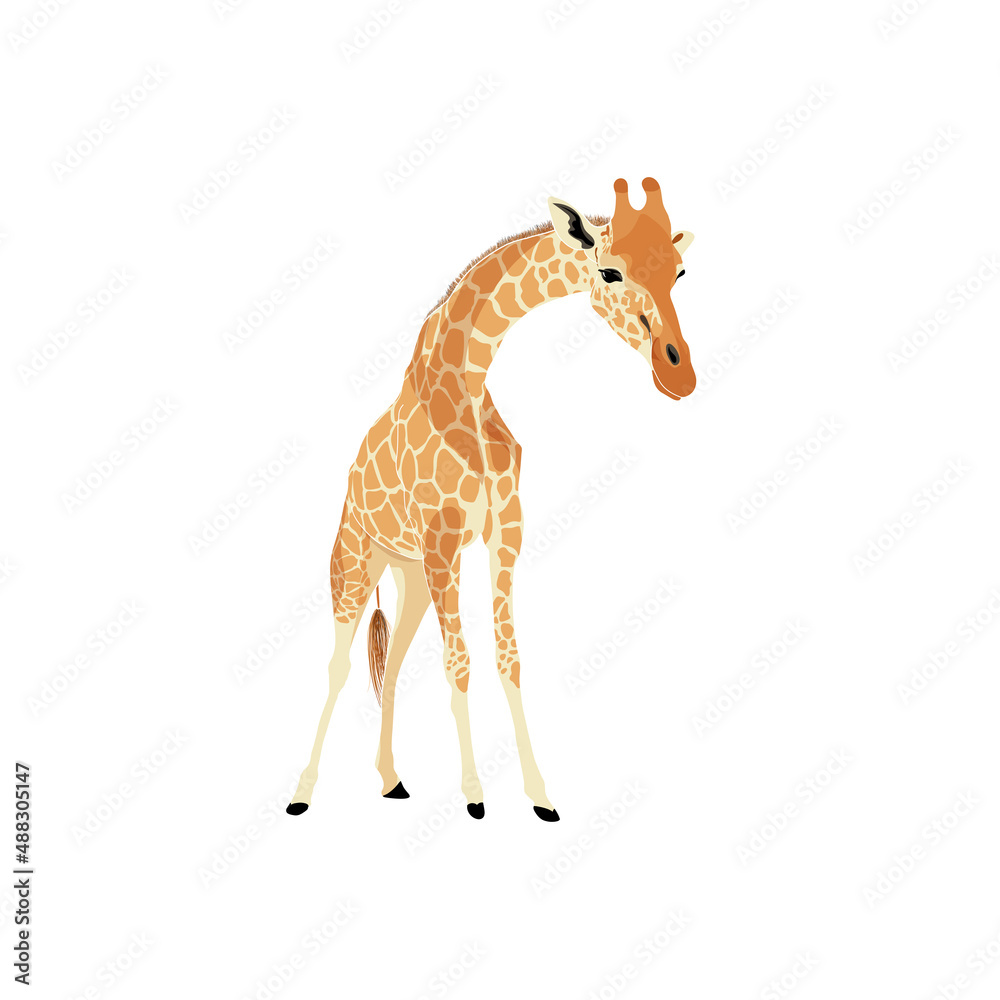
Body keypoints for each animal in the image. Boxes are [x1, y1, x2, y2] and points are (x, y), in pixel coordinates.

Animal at [287, 176, 696, 821]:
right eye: (609, 272)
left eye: (680, 272)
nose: (679, 375)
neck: (469, 378)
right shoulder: (444, 537)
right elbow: (460, 662)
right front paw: (475, 794)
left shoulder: (505, 532)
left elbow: (508, 657)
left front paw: (540, 795)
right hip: (354, 563)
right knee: (338, 664)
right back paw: (302, 792)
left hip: (410, 576)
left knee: (393, 664)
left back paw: (391, 780)